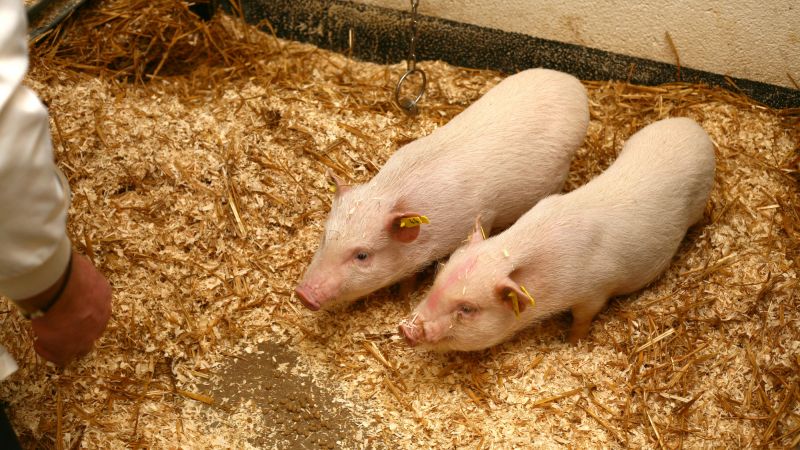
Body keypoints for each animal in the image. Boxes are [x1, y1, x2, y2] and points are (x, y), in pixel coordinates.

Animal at [295, 69, 590, 311]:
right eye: (325, 238)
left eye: (362, 255)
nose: (303, 294)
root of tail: (574, 85)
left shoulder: (479, 218)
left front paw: (405, 295)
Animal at [399, 117, 715, 351]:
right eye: (437, 278)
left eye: (467, 309)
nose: (406, 329)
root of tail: (693, 127)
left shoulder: (596, 291)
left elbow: (583, 319)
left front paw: (571, 342)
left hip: (699, 202)